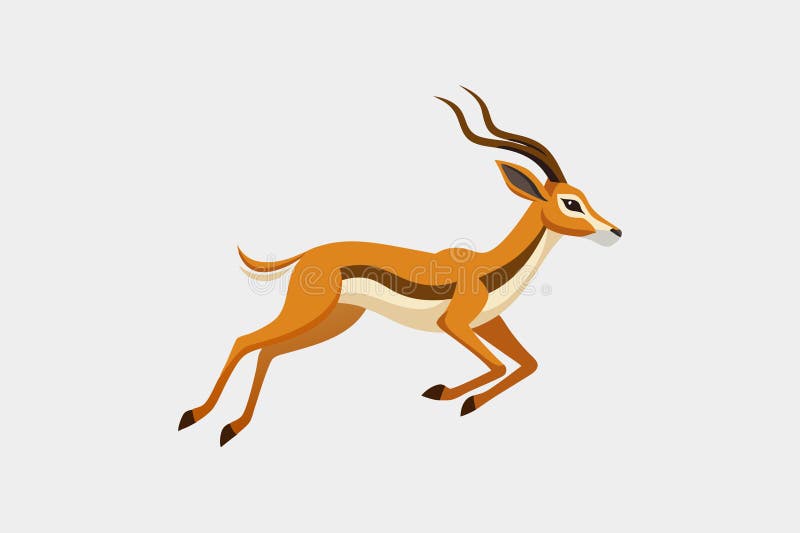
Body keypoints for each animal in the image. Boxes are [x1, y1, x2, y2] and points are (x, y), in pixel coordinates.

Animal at [179, 87, 621, 446]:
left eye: (583, 196)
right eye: (570, 202)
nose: (615, 231)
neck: (491, 267)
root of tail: (309, 253)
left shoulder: (490, 323)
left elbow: (527, 363)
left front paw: (452, 394)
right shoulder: (455, 325)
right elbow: (497, 364)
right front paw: (455, 397)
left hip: (335, 320)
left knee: (267, 351)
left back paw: (228, 424)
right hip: (308, 313)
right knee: (245, 340)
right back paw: (201, 418)